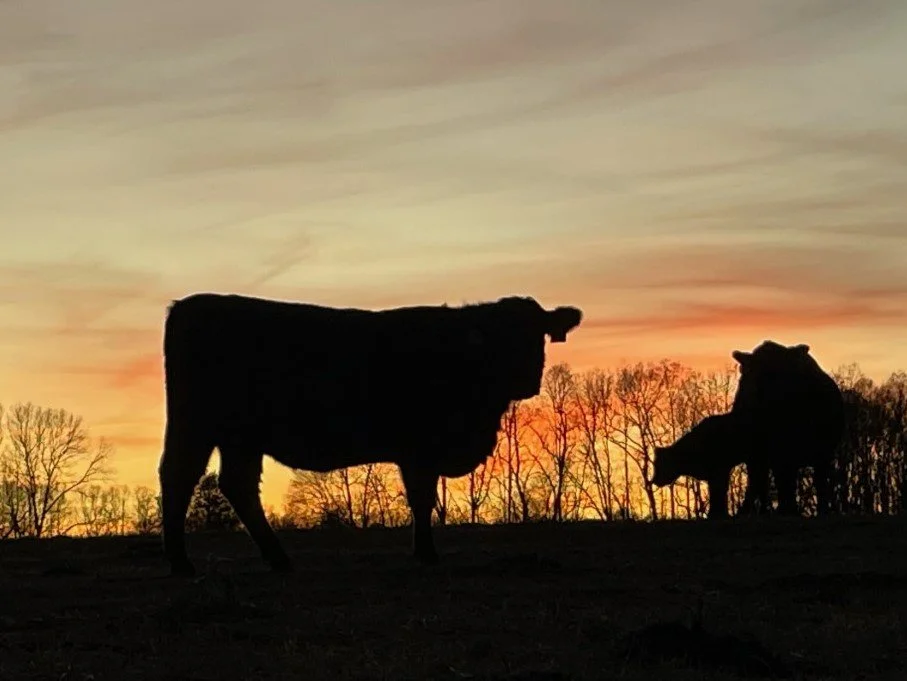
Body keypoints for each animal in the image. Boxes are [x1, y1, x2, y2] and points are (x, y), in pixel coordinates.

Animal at [158, 293, 583, 576]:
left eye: (539, 335)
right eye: (500, 338)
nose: (528, 380)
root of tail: (188, 305)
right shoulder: (419, 448)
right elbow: (422, 500)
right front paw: (426, 553)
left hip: (241, 437)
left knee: (237, 486)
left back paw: (277, 558)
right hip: (196, 425)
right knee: (179, 476)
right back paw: (181, 562)